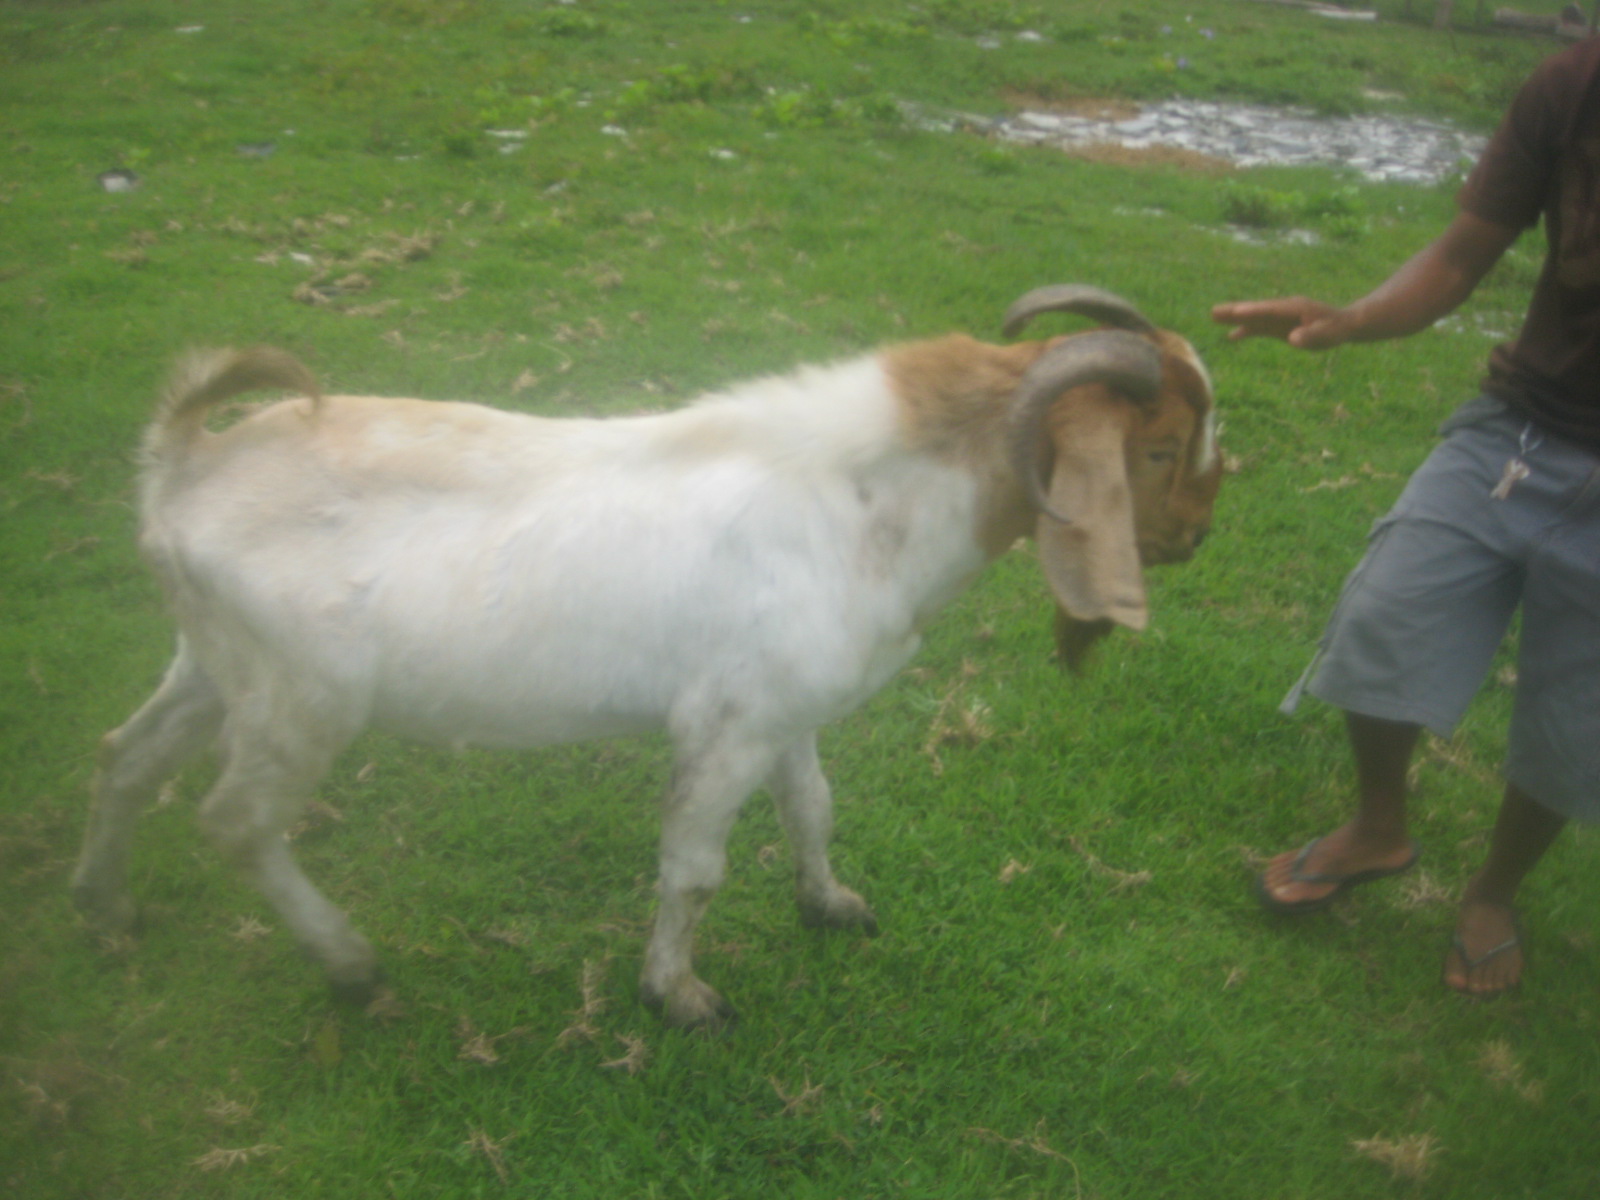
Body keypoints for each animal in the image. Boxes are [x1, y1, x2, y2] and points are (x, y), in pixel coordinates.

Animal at [71, 286, 1220, 1028]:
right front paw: (678, 997)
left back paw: (103, 905)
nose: (1196, 535)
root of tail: (184, 463)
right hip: (300, 697)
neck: (863, 502)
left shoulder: (784, 709)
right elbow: (695, 868)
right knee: (234, 821)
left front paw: (831, 906)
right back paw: (350, 966)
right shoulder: (725, 728)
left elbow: (813, 810)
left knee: (124, 755)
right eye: (1160, 448)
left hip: (214, 664)